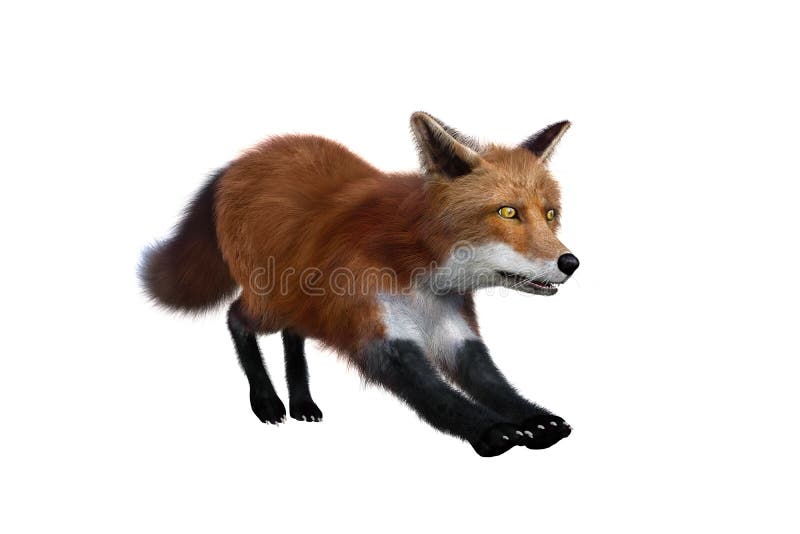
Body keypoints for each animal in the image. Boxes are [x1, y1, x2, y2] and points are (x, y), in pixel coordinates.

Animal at [140, 112, 580, 457]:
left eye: (550, 214)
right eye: (508, 212)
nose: (571, 263)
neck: (420, 283)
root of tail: (241, 159)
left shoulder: (455, 332)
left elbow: (492, 383)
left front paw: (535, 419)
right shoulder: (381, 333)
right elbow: (438, 397)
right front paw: (491, 430)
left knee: (293, 335)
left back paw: (301, 400)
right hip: (272, 302)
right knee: (235, 317)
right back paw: (266, 400)